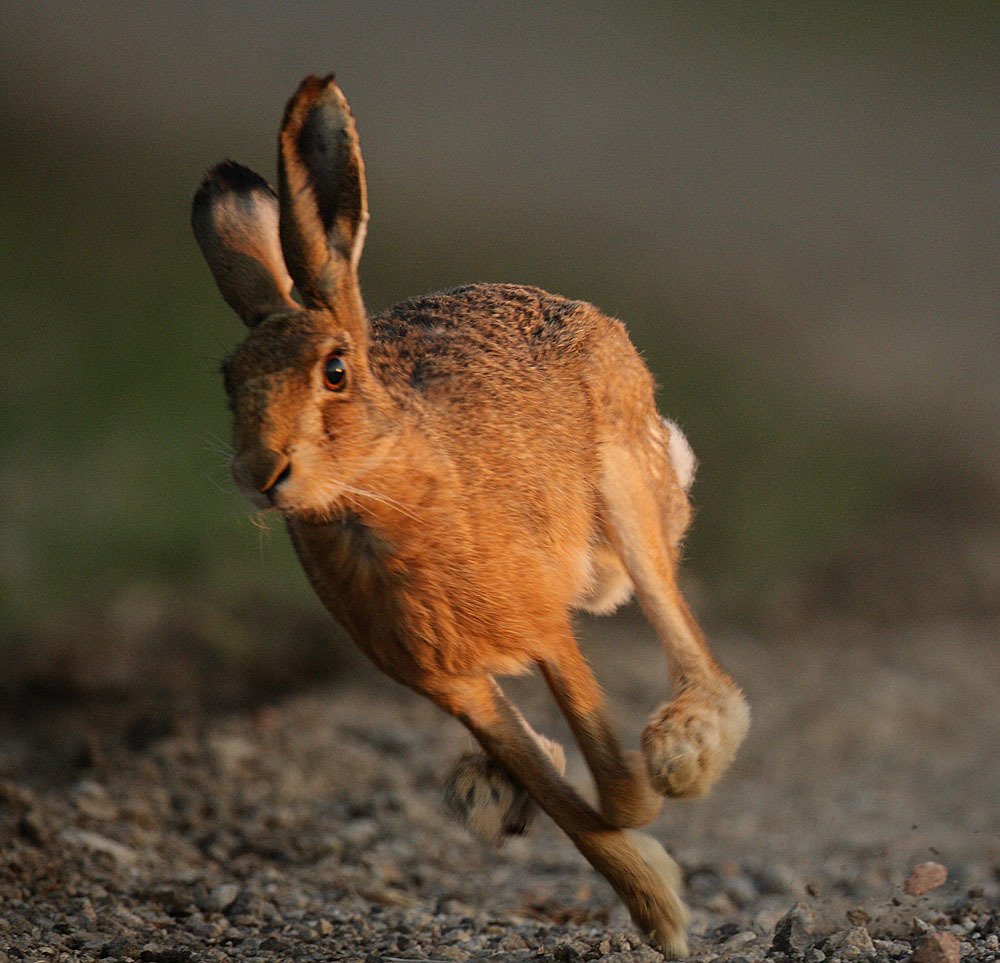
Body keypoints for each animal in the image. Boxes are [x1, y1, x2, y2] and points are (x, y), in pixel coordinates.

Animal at [191, 74, 749, 958]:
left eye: (335, 371)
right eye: (228, 378)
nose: (262, 472)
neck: (379, 495)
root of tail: (585, 311)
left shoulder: (544, 628)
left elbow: (611, 789)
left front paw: (663, 905)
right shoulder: (444, 679)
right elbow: (561, 794)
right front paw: (651, 897)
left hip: (626, 490)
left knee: (683, 632)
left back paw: (683, 749)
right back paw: (491, 787)